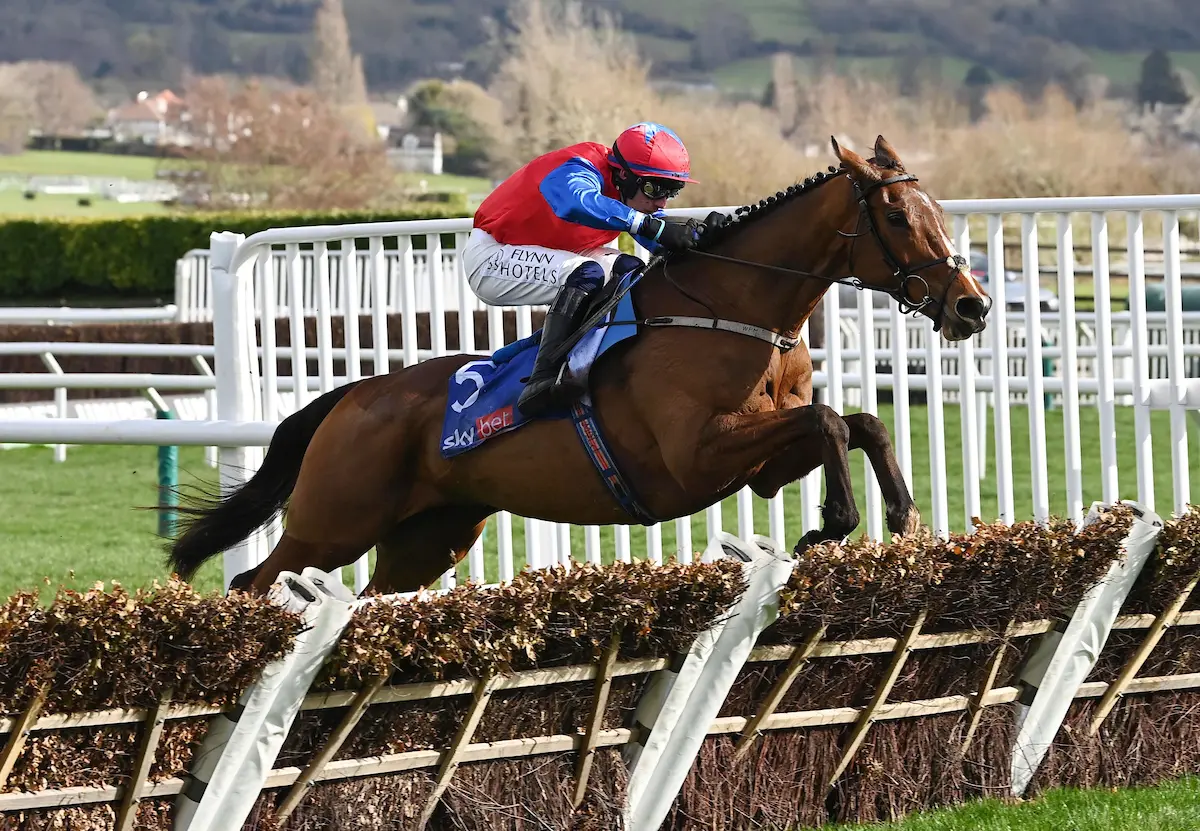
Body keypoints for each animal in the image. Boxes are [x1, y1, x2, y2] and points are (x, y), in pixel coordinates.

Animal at [167, 135, 992, 595]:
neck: (735, 307)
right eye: (896, 217)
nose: (972, 305)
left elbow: (855, 421)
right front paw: (832, 523)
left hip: (428, 537)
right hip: (332, 522)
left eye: (937, 212)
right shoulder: (696, 456)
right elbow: (828, 420)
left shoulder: (757, 462)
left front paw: (900, 515)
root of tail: (355, 394)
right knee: (252, 579)